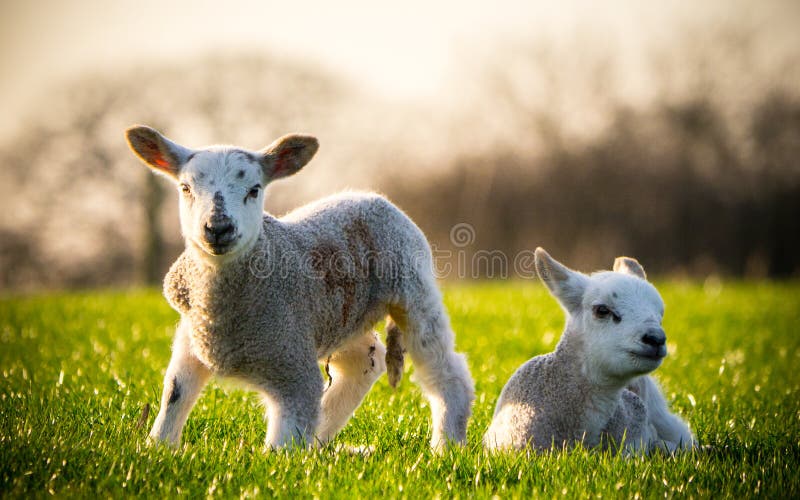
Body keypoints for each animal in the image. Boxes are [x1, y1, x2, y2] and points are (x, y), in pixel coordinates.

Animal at [125, 125, 474, 451]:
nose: (218, 228)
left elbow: (286, 439)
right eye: (185, 188)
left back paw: (446, 445)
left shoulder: (293, 367)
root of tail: (371, 196)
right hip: (335, 318)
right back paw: (322, 437)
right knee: (366, 360)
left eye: (254, 190)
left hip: (413, 288)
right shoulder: (193, 335)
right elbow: (174, 393)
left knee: (444, 369)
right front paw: (157, 447)